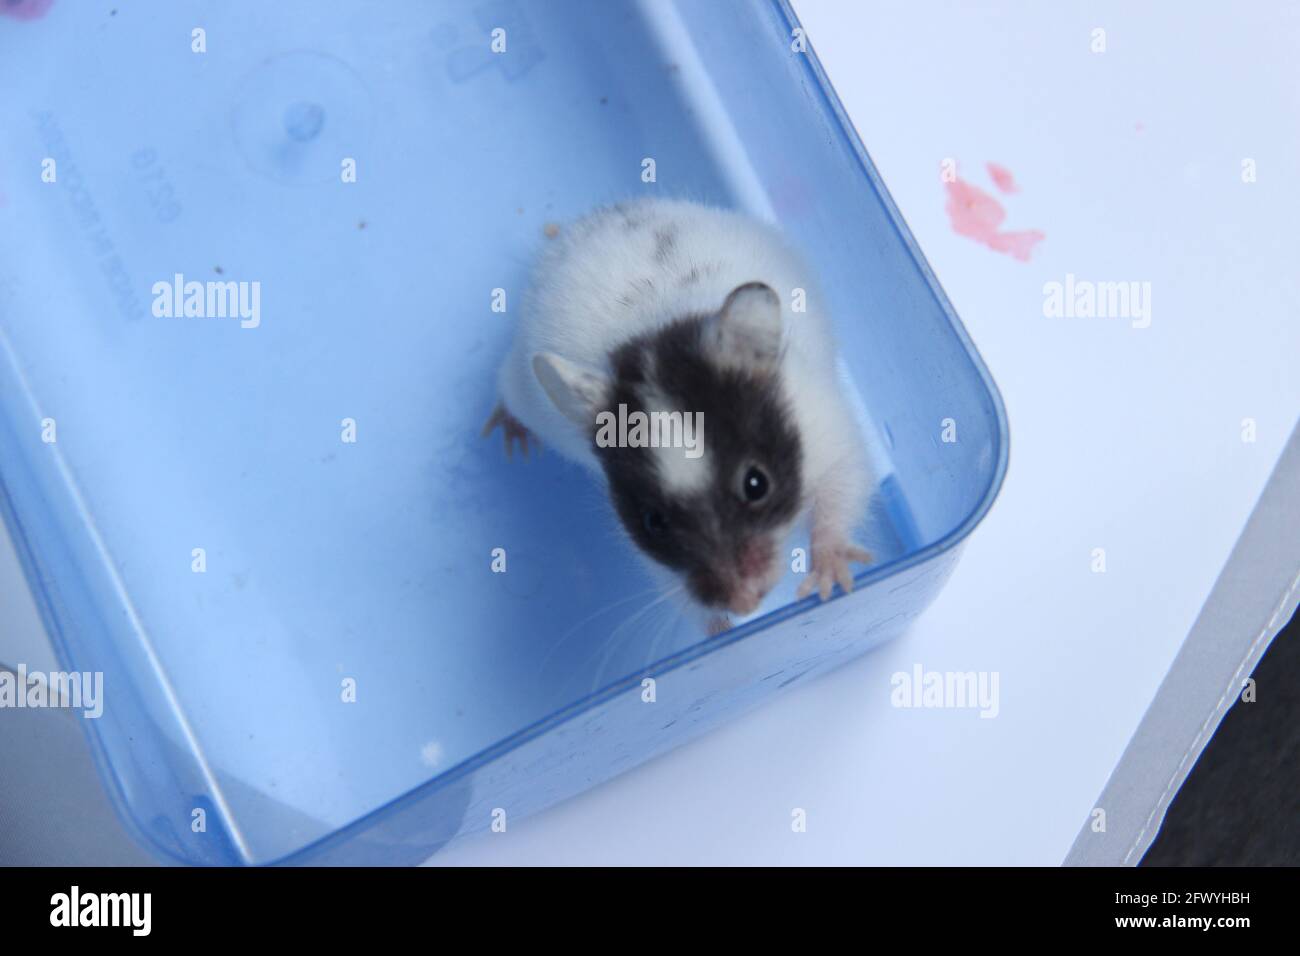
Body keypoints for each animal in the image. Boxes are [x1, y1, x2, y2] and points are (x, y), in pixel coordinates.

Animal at [485, 198, 872, 625]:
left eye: (757, 484)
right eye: (654, 522)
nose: (744, 604)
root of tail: (597, 217)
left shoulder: (829, 433)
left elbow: (839, 496)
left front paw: (831, 584)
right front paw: (721, 631)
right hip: (523, 387)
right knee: (507, 397)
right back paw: (512, 438)